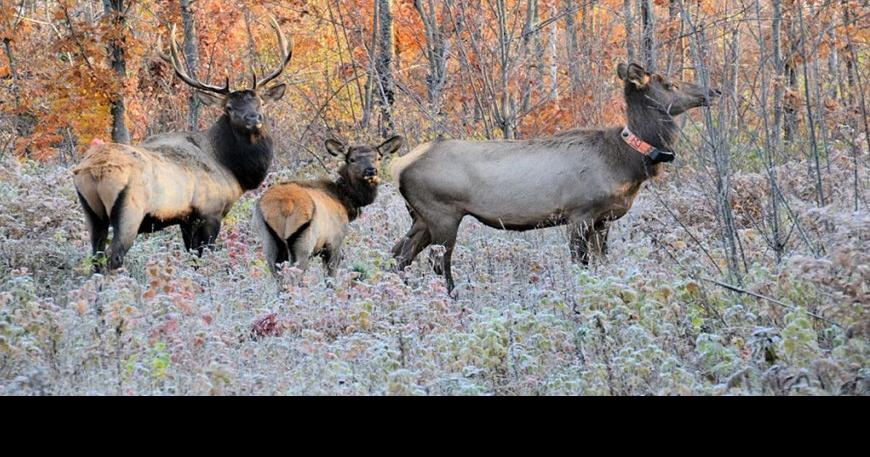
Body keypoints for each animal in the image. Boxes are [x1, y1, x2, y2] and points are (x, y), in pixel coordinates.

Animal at [73, 17, 293, 271]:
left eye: (261, 103)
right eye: (229, 108)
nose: (253, 118)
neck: (231, 169)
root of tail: (94, 170)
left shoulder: (186, 219)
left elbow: (191, 257)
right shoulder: (209, 212)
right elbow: (202, 258)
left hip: (92, 213)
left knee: (95, 256)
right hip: (130, 209)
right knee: (113, 256)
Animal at [253, 136, 404, 277]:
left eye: (378, 157)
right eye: (352, 159)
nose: (371, 171)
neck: (346, 202)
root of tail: (285, 205)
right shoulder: (334, 243)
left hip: (269, 242)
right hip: (304, 243)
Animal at [390, 63, 720, 294]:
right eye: (670, 83)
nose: (713, 91)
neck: (627, 163)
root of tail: (398, 166)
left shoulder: (603, 219)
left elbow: (602, 263)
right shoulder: (580, 213)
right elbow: (580, 264)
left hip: (421, 217)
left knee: (398, 255)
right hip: (443, 214)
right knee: (438, 264)